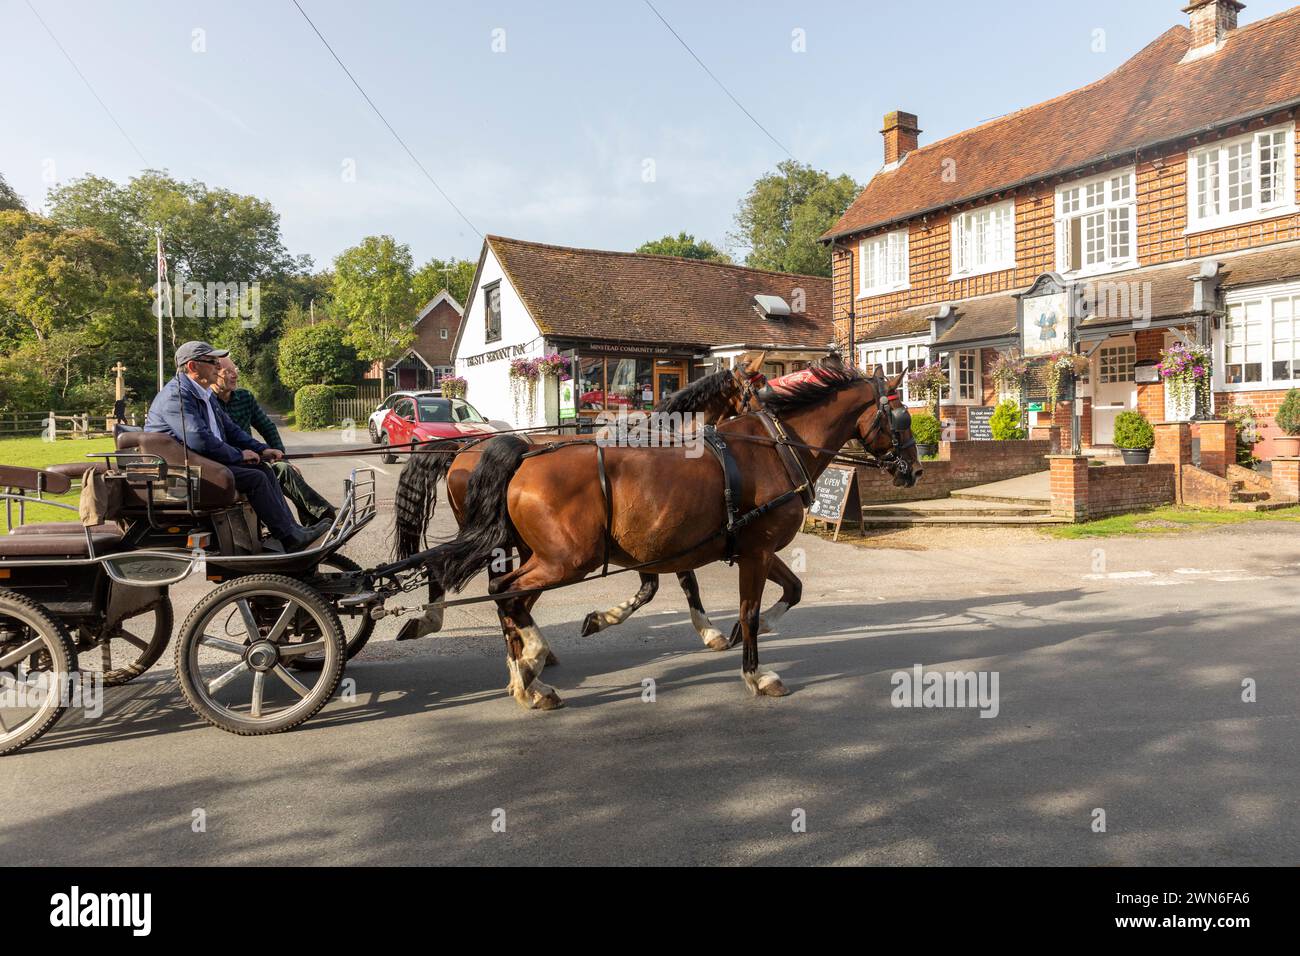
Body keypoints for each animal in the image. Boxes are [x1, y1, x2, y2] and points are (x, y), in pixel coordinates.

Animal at [393, 353, 768, 652]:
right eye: (759, 389)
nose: (771, 425)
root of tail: (462, 449)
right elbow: (683, 581)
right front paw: (710, 631)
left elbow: (658, 583)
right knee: (459, 572)